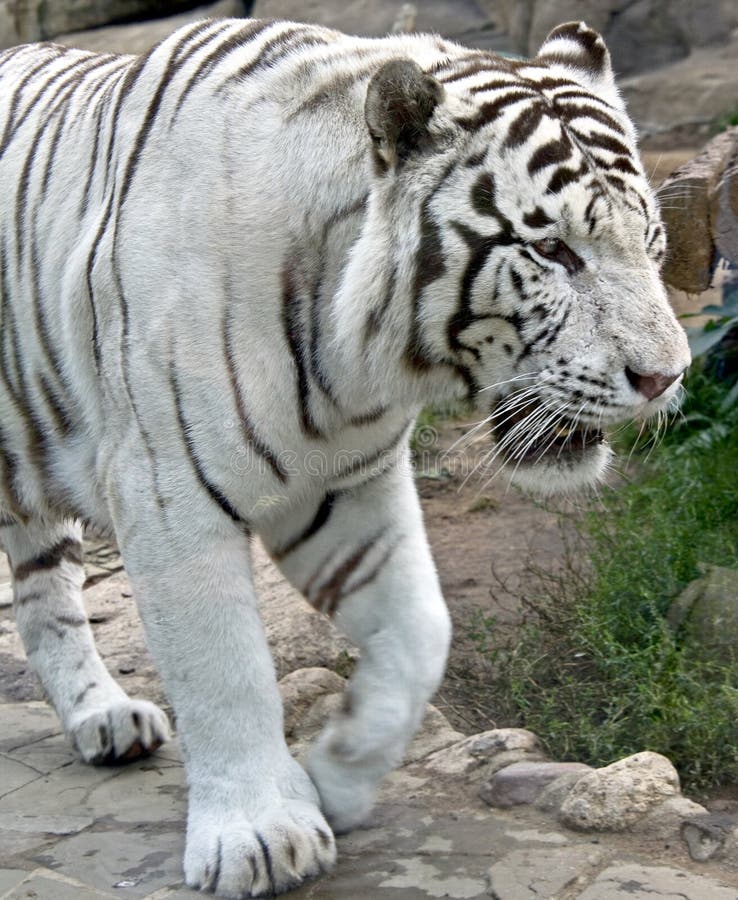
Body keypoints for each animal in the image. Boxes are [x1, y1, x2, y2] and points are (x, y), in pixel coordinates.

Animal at [0, 15, 689, 898]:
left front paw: (337, 774)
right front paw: (260, 832)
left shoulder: (347, 485)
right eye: (555, 252)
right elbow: (223, 669)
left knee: (45, 592)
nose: (667, 377)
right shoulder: (167, 489)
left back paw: (103, 717)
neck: (354, 361)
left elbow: (422, 634)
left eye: (653, 244)